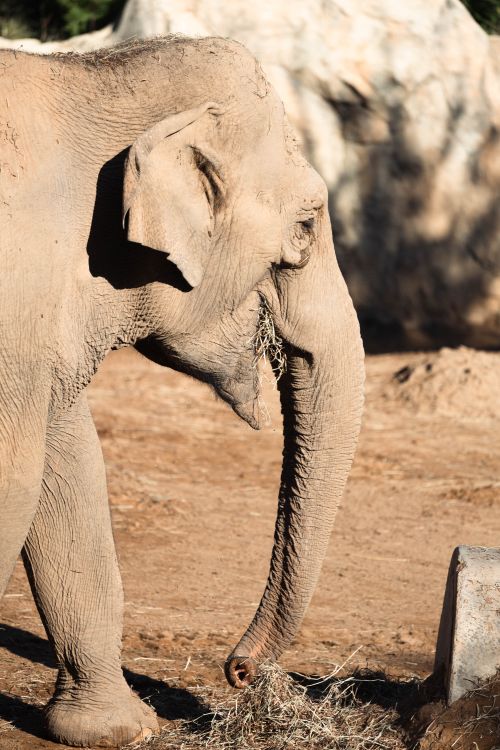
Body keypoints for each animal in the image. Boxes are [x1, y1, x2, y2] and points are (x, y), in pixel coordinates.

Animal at [0, 36, 364, 747]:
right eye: (306, 226)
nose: (239, 671)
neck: (84, 75)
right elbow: (15, 480)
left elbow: (69, 468)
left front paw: (118, 730)